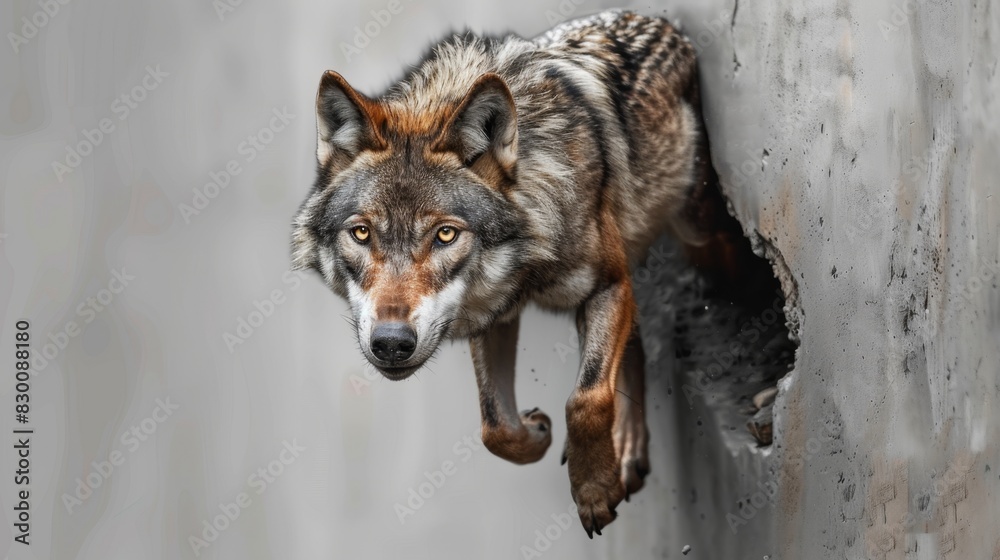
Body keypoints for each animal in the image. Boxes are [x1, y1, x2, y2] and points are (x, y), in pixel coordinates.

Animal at [291, 10, 721, 537]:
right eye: (361, 233)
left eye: (446, 235)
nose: (391, 343)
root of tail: (657, 19)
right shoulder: (493, 314)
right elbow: (494, 426)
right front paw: (537, 436)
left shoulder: (608, 285)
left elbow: (586, 398)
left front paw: (594, 491)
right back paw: (626, 448)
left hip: (695, 229)